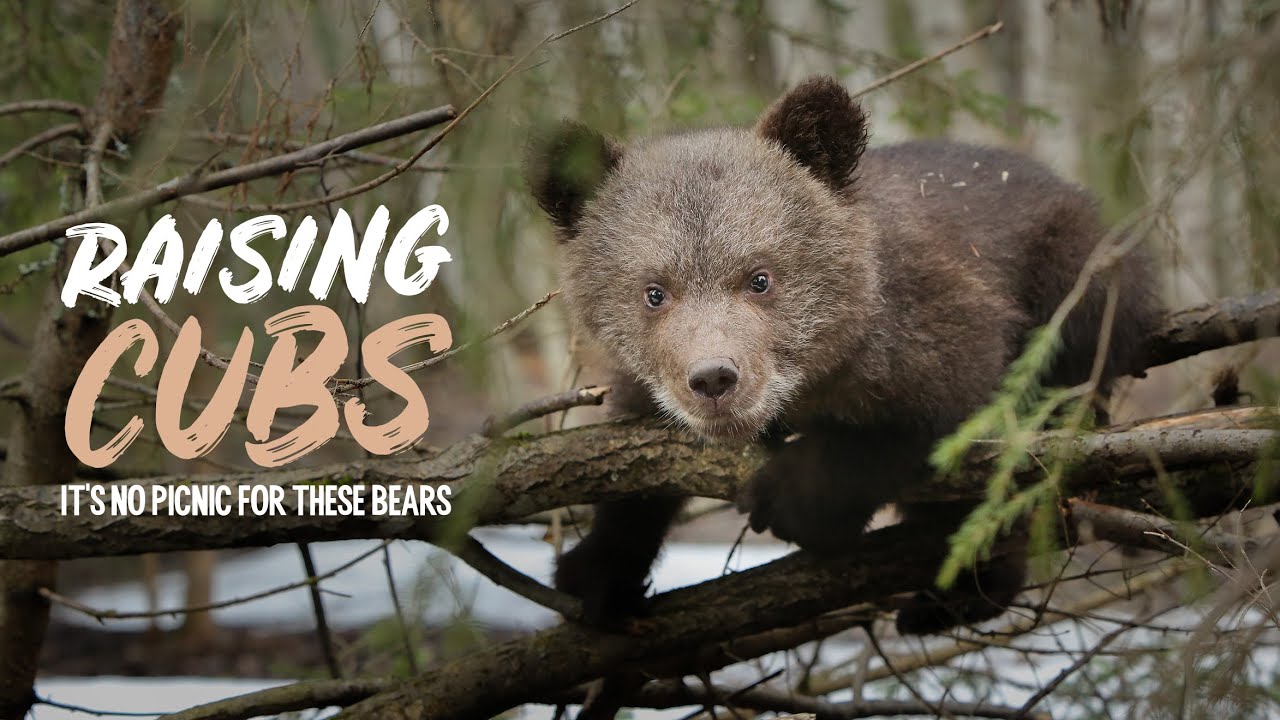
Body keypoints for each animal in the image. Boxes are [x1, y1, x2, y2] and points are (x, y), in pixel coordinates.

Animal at [525, 76, 1160, 634]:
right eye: (654, 291)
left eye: (760, 277)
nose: (714, 379)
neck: (816, 376)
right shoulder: (648, 380)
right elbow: (630, 458)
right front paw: (597, 571)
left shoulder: (936, 330)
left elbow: (929, 419)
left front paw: (797, 499)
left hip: (1077, 269)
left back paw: (958, 593)